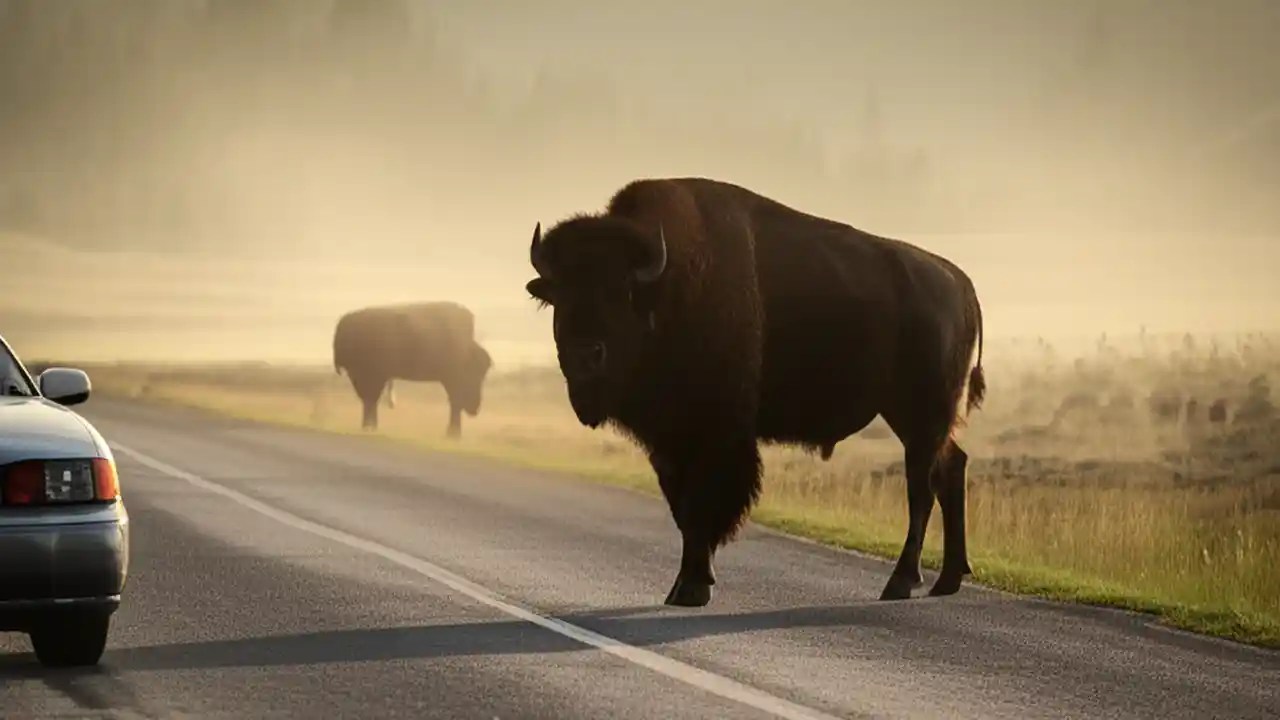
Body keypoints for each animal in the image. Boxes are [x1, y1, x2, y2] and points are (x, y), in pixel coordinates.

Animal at [525, 177, 986, 607]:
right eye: (559, 295)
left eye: (621, 292)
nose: (586, 354)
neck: (669, 287)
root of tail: (962, 285)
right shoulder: (669, 442)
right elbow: (682, 507)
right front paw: (686, 584)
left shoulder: (716, 436)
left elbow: (704, 503)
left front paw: (693, 586)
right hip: (915, 418)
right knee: (950, 469)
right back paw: (947, 579)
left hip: (920, 415)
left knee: (921, 487)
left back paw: (901, 581)